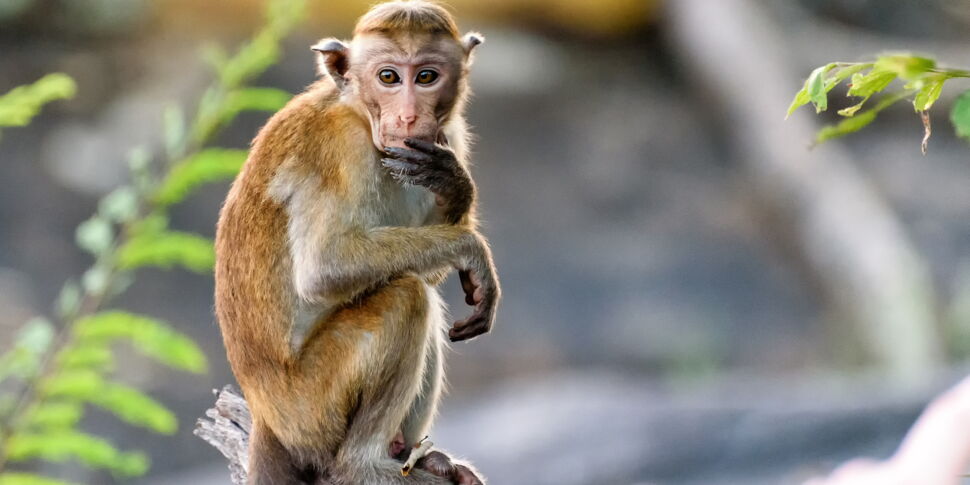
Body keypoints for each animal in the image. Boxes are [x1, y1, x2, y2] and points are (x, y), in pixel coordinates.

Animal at [213, 1, 499, 484]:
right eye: (388, 77)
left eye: (426, 77)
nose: (408, 117)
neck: (360, 113)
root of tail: (264, 415)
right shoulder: (340, 149)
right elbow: (324, 268)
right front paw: (473, 250)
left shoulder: (447, 138)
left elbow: (431, 268)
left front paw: (456, 187)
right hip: (311, 407)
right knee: (407, 297)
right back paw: (363, 466)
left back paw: (419, 455)